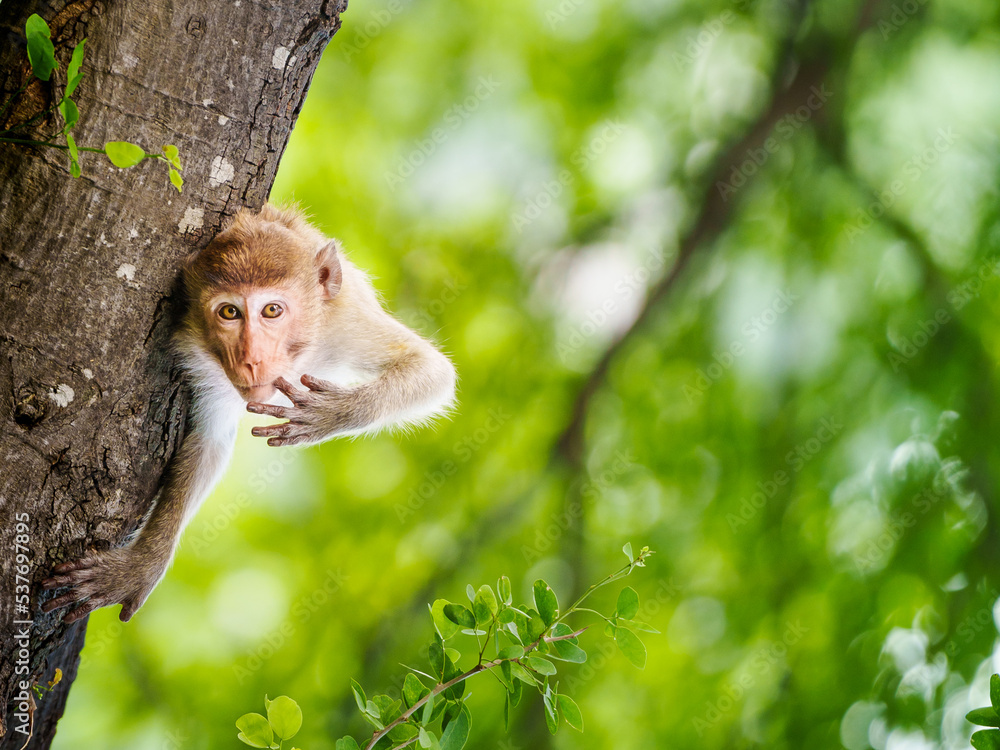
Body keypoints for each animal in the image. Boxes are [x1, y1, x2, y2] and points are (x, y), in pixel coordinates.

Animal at [40, 204, 457, 623]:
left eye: (272, 310)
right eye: (230, 312)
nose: (251, 359)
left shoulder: (344, 325)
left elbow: (431, 370)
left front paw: (330, 414)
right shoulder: (198, 353)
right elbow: (209, 440)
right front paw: (145, 562)